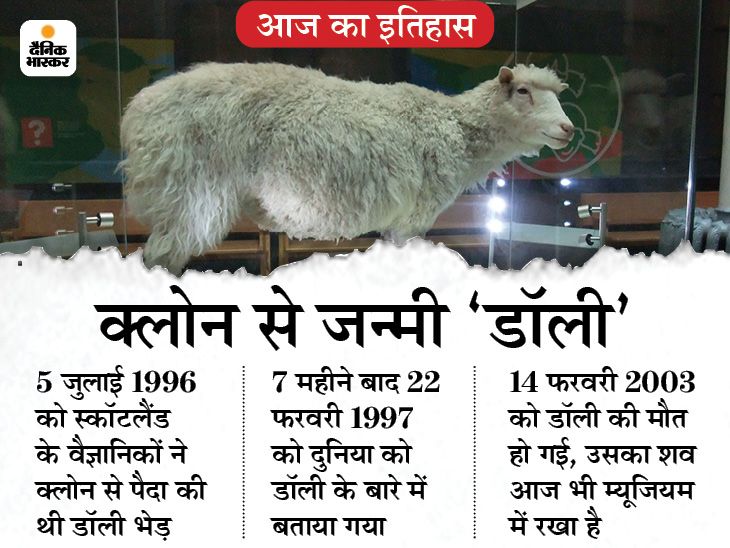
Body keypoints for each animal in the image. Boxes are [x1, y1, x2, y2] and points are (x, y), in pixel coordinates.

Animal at [120, 62, 574, 274]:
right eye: (522, 91)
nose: (568, 129)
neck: (456, 128)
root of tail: (137, 110)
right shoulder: (414, 214)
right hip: (191, 191)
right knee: (160, 257)